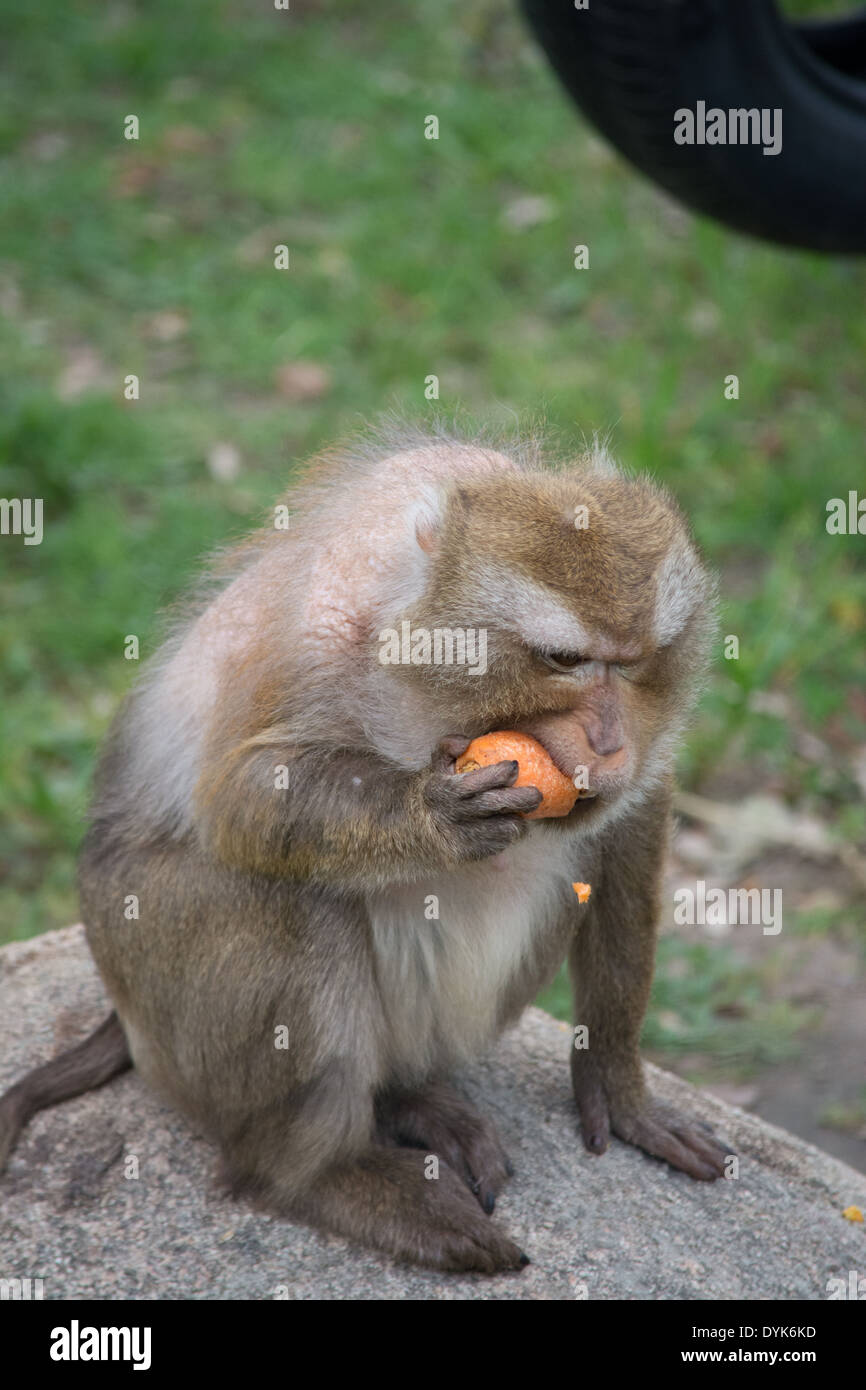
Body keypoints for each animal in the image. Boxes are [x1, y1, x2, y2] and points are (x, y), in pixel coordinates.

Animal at [0, 425, 729, 1273]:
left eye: (637, 660)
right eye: (566, 660)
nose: (610, 741)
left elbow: (631, 821)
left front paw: (616, 1080)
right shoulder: (322, 636)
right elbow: (241, 799)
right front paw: (427, 816)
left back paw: (407, 1100)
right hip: (156, 981)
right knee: (287, 903)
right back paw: (318, 1176)